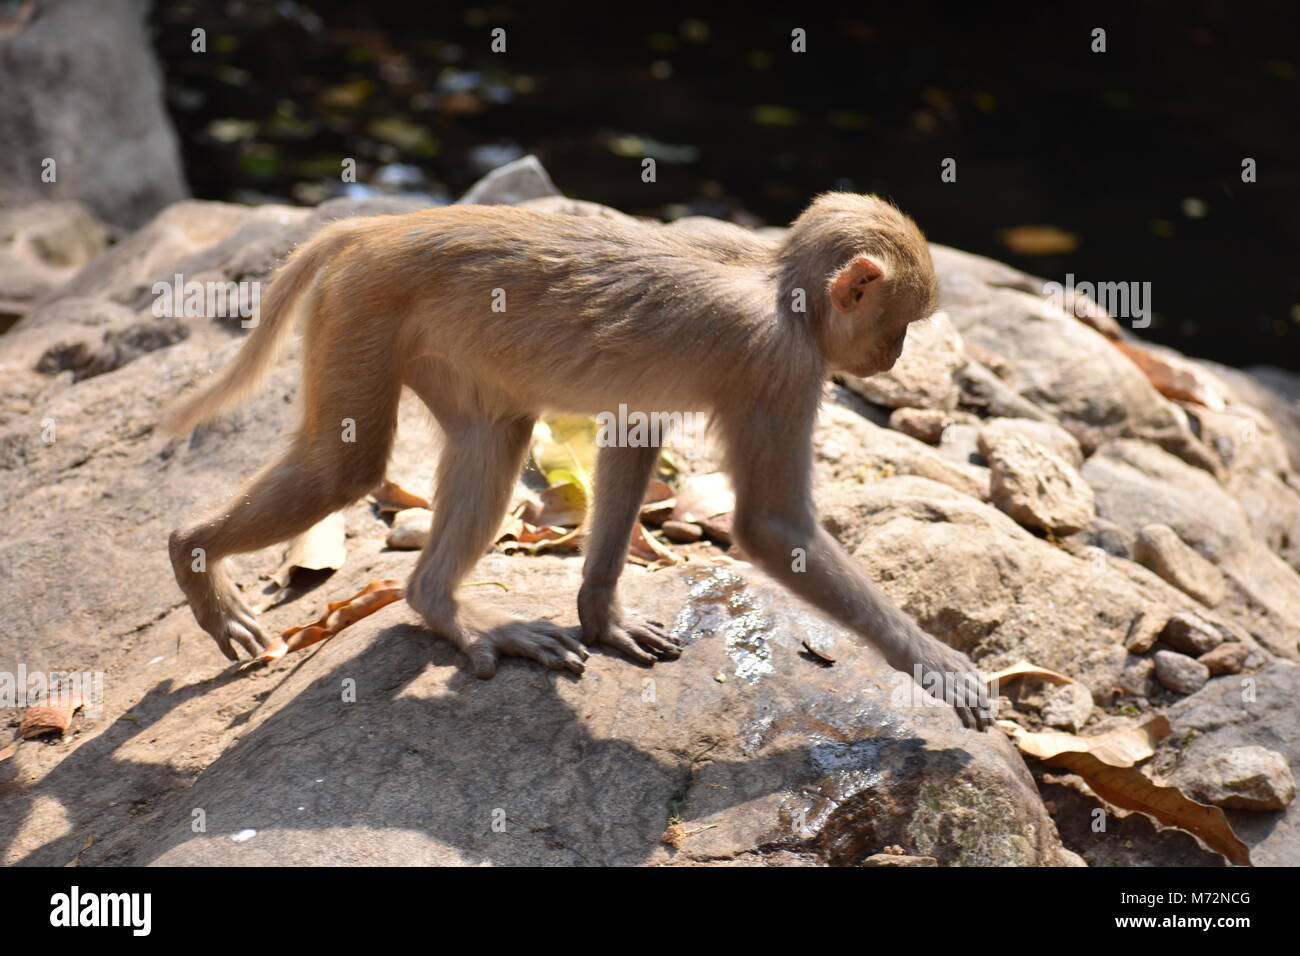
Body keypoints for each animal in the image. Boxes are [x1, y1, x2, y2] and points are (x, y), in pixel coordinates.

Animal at [165, 193, 991, 730]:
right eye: (900, 323)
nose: (895, 355)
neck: (779, 283)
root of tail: (378, 227)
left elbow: (634, 430)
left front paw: (602, 614)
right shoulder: (780, 367)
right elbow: (771, 526)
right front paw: (936, 664)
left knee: (493, 434)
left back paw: (442, 606)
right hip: (365, 307)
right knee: (350, 467)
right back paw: (192, 552)